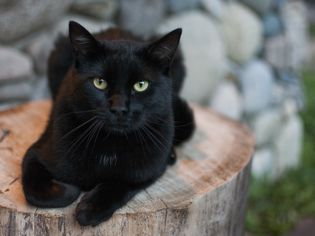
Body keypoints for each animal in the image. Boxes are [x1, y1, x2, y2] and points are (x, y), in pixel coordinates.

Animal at [21, 21, 195, 227]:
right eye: (100, 82)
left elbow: (123, 182)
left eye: (141, 85)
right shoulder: (36, 153)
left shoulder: (151, 167)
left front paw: (90, 209)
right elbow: (35, 192)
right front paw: (71, 190)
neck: (111, 144)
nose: (119, 108)